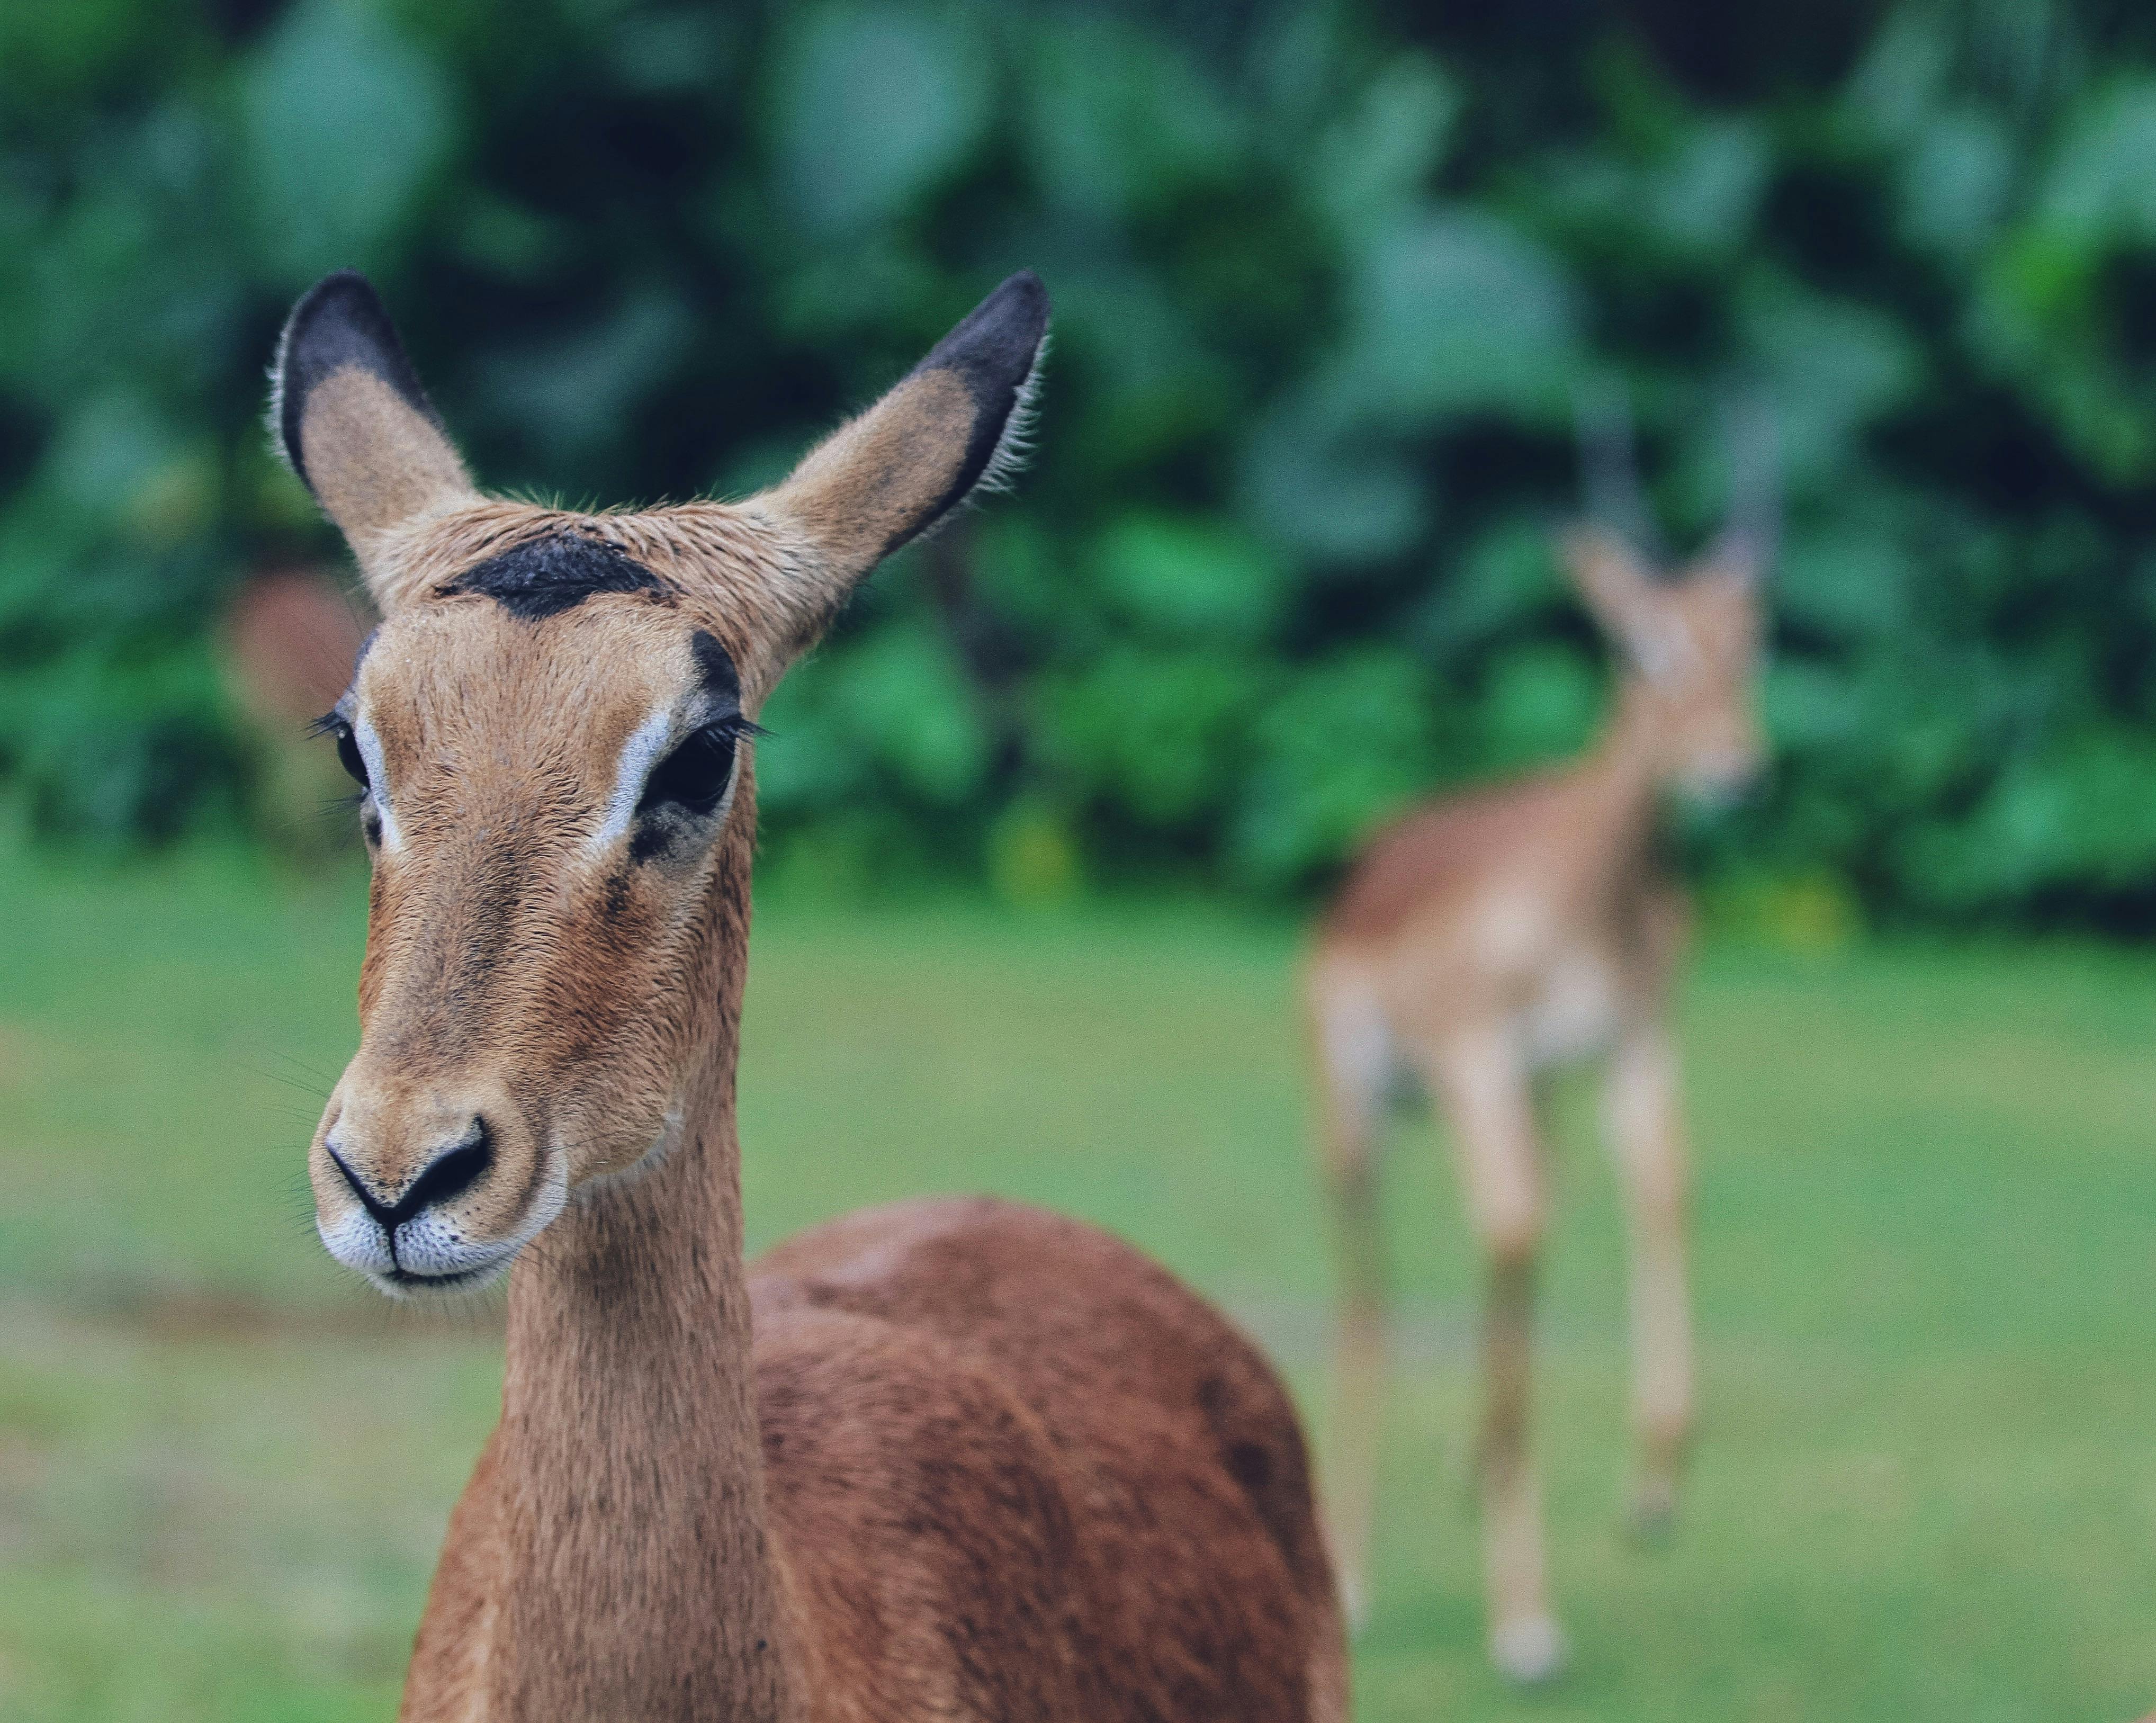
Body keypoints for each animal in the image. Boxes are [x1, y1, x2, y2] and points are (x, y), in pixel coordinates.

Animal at [1307, 397, 1774, 1682]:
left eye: (1750, 643)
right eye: (1646, 647)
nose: (1736, 771)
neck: (1576, 898)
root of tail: (1363, 866)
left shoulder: (1628, 1050)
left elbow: (1663, 1188)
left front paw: (1652, 1492)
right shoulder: (1475, 1053)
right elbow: (1512, 1229)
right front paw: (1523, 1620)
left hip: (1533, 1099)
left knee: (1530, 1229)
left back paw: (1475, 1475)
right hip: (1364, 1116)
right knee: (1375, 1301)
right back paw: (1355, 1573)